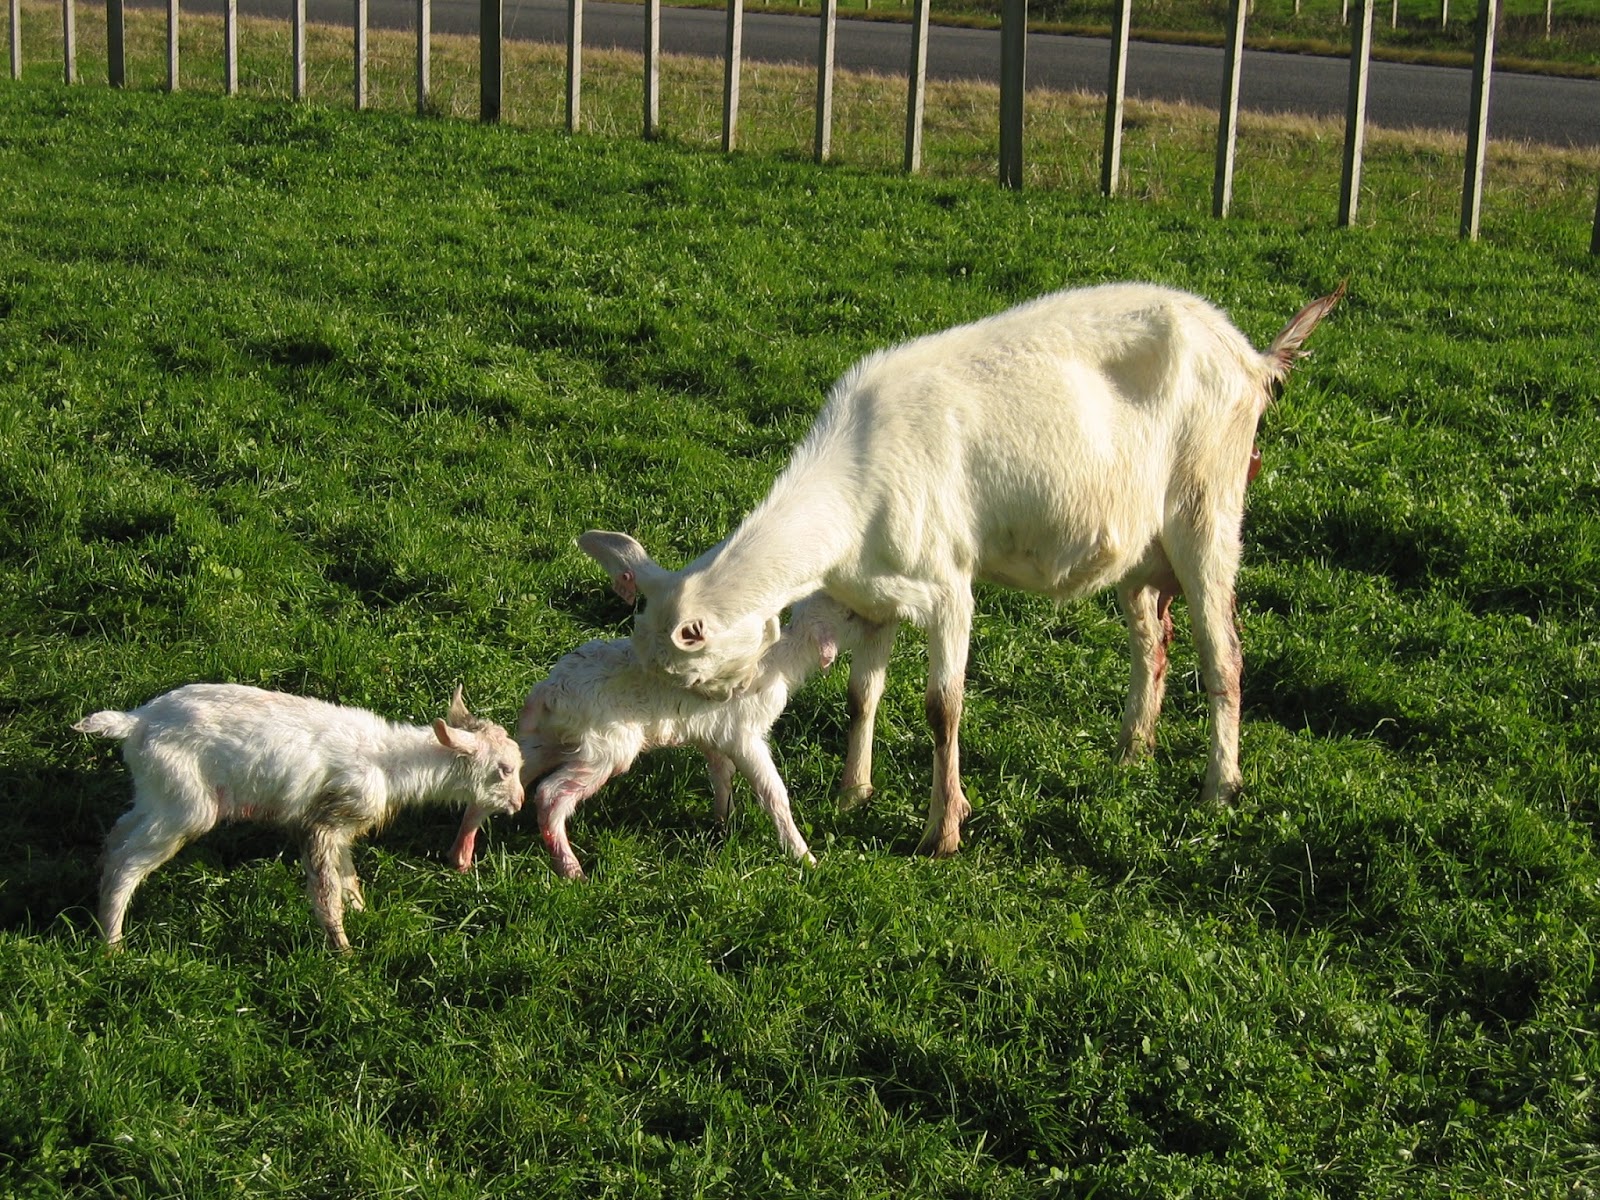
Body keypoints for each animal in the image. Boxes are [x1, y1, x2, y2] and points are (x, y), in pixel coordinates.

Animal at [74, 684, 524, 952]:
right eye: (503, 769)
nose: (519, 803)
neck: (389, 763)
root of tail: (136, 722)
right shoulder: (325, 819)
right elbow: (326, 886)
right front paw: (343, 949)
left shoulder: (342, 828)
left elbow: (346, 874)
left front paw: (362, 911)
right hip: (185, 806)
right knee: (128, 863)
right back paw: (112, 942)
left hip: (156, 794)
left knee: (119, 832)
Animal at [450, 594, 871, 879]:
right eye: (848, 614)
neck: (781, 662)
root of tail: (547, 692)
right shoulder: (744, 735)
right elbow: (772, 792)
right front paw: (804, 857)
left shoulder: (713, 736)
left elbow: (721, 774)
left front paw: (723, 822)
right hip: (606, 746)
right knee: (551, 794)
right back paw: (571, 869)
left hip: (550, 739)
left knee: (502, 781)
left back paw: (462, 855)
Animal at [578, 280, 1343, 856]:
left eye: (684, 675)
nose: (682, 736)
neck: (853, 484)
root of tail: (1253, 358)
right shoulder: (873, 596)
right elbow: (862, 694)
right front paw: (854, 792)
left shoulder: (949, 587)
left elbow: (941, 706)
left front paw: (942, 830)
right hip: (1142, 548)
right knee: (1152, 643)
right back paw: (1132, 753)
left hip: (1208, 508)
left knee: (1225, 653)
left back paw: (1219, 789)